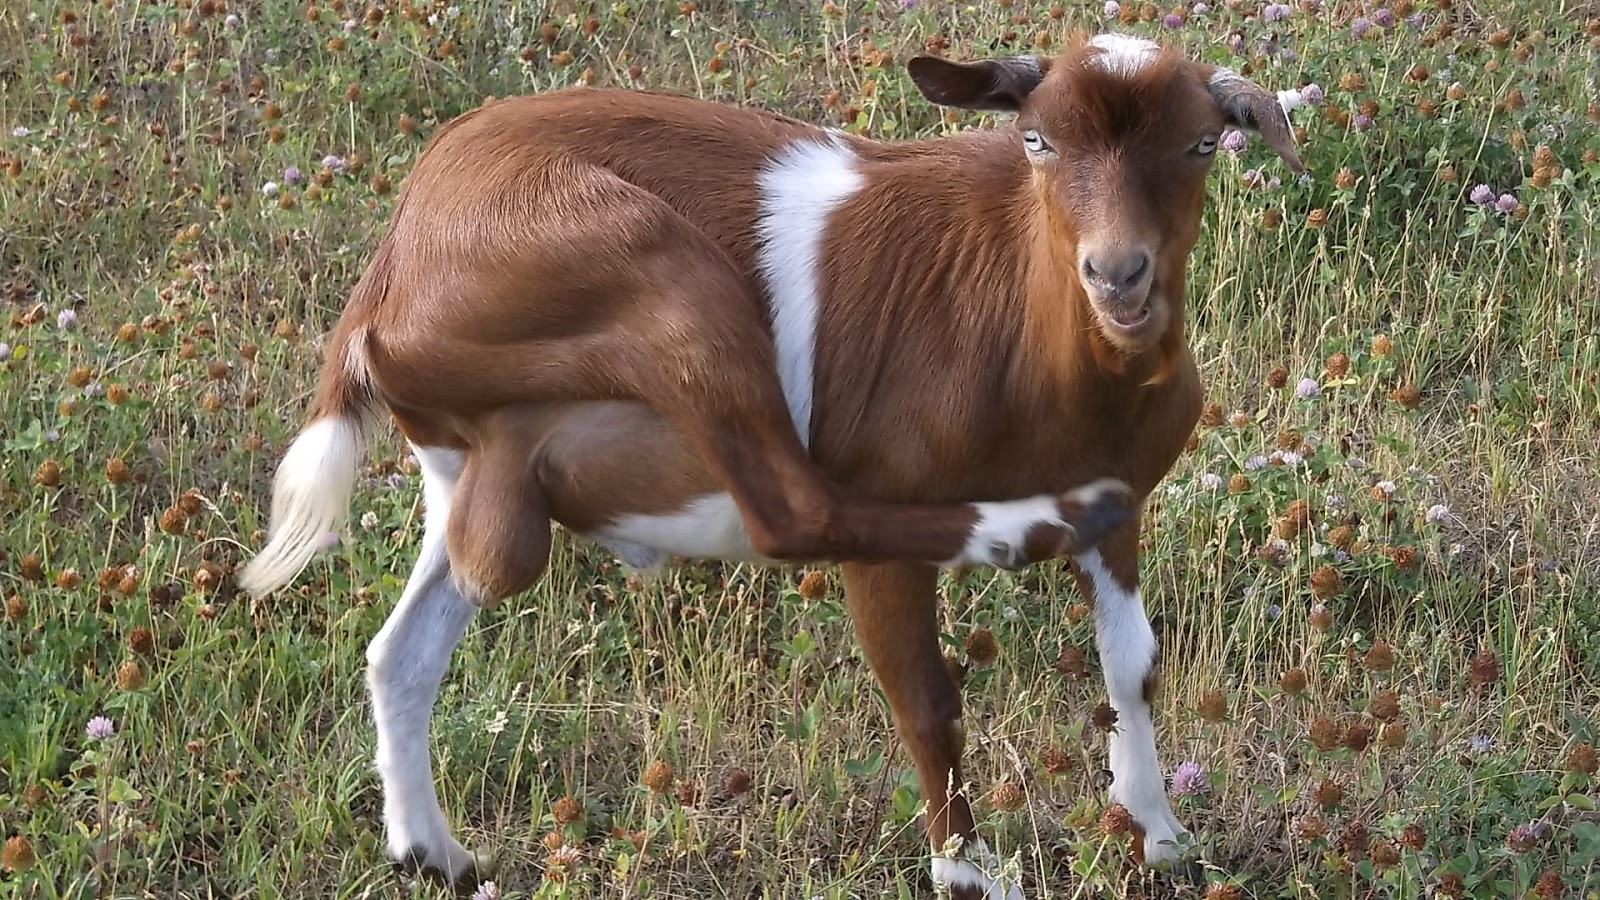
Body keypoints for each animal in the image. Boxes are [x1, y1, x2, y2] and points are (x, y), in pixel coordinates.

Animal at [239, 31, 1304, 899]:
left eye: (1202, 144)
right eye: (1037, 142)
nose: (1118, 276)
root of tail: (391, 264)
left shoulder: (1133, 502)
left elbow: (1135, 664)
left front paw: (1160, 834)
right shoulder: (896, 505)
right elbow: (928, 700)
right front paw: (966, 870)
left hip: (470, 460)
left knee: (412, 640)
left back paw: (434, 853)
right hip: (656, 273)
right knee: (792, 508)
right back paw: (1022, 528)